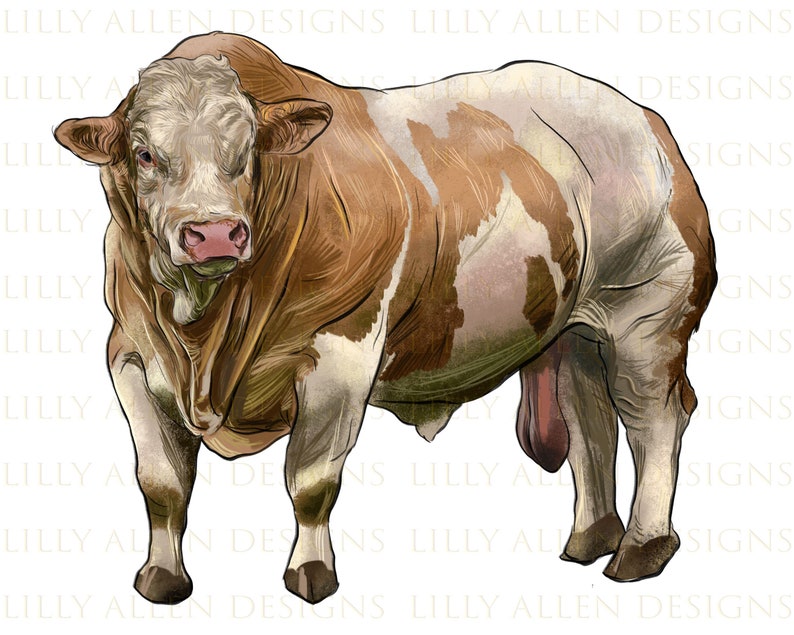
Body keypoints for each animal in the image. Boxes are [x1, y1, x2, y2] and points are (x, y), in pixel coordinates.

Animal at [55, 32, 716, 605]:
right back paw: (589, 538)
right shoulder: (132, 356)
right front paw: (161, 580)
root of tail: (641, 118)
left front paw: (311, 574)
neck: (204, 338)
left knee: (652, 418)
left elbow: (311, 480)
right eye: (145, 154)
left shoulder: (341, 354)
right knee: (589, 419)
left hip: (648, 317)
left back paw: (639, 550)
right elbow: (162, 484)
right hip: (576, 332)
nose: (213, 233)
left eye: (247, 153)